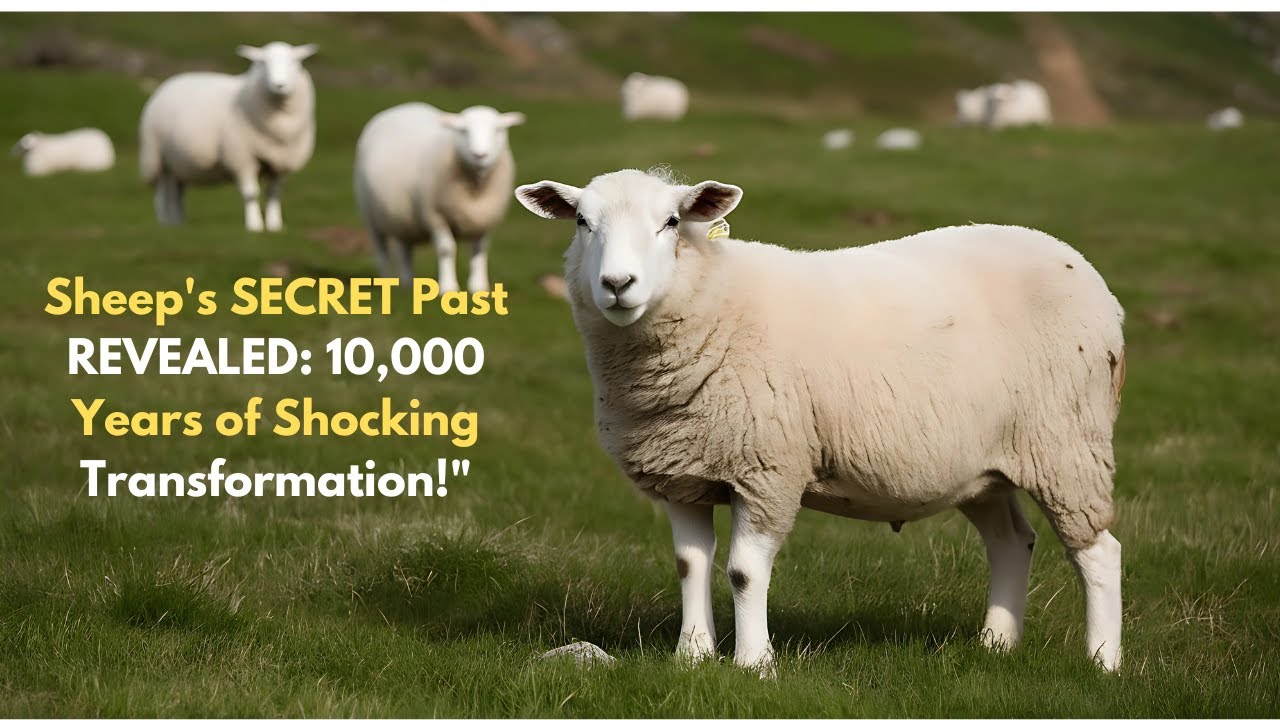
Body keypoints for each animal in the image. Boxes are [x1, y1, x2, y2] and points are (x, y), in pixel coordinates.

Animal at [138, 41, 317, 232]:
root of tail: (170, 82)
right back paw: (165, 224)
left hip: (177, 164)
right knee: (161, 194)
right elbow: (251, 194)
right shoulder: (241, 157)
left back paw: (177, 223)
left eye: (295, 62)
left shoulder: (281, 162)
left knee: (176, 193)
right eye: (262, 62)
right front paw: (254, 225)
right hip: (156, 157)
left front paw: (274, 225)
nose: (279, 85)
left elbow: (274, 194)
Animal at [354, 102, 525, 294]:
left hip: (403, 219)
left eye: (498, 129)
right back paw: (385, 280)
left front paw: (478, 287)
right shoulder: (435, 215)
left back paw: (407, 284)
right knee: (381, 250)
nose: (480, 156)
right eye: (463, 130)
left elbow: (479, 250)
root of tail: (401, 107)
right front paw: (448, 287)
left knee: (404, 250)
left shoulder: (483, 219)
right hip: (371, 215)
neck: (476, 189)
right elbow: (446, 249)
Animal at [515, 168, 1127, 676]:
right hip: (981, 464)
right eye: (582, 221)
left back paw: (1103, 662)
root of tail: (1083, 268)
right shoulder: (683, 470)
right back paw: (996, 644)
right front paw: (692, 655)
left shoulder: (767, 469)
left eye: (670, 222)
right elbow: (690, 564)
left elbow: (742, 571)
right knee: (1011, 541)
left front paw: (753, 664)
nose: (618, 284)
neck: (715, 303)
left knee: (1098, 552)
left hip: (1068, 443)